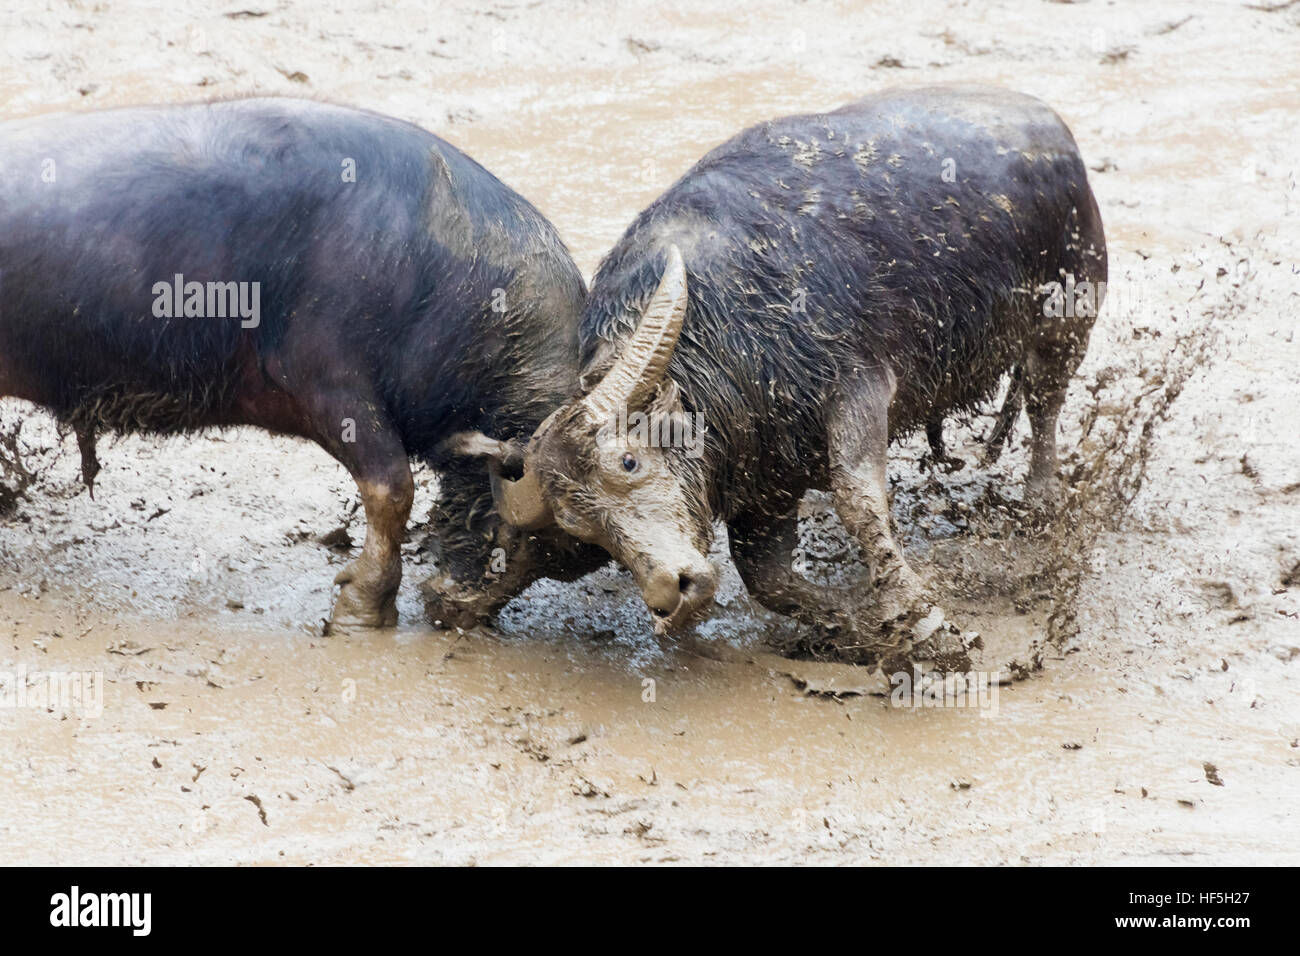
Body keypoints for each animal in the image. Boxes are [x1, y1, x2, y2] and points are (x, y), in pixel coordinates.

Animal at [454, 85, 1108, 663]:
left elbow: (859, 501)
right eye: (583, 528)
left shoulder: (857, 387)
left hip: (1067, 318)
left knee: (1046, 405)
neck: (731, 325)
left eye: (629, 462)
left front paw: (933, 631)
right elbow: (770, 581)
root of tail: (1054, 131)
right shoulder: (765, 484)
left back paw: (1041, 503)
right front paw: (870, 630)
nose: (671, 592)